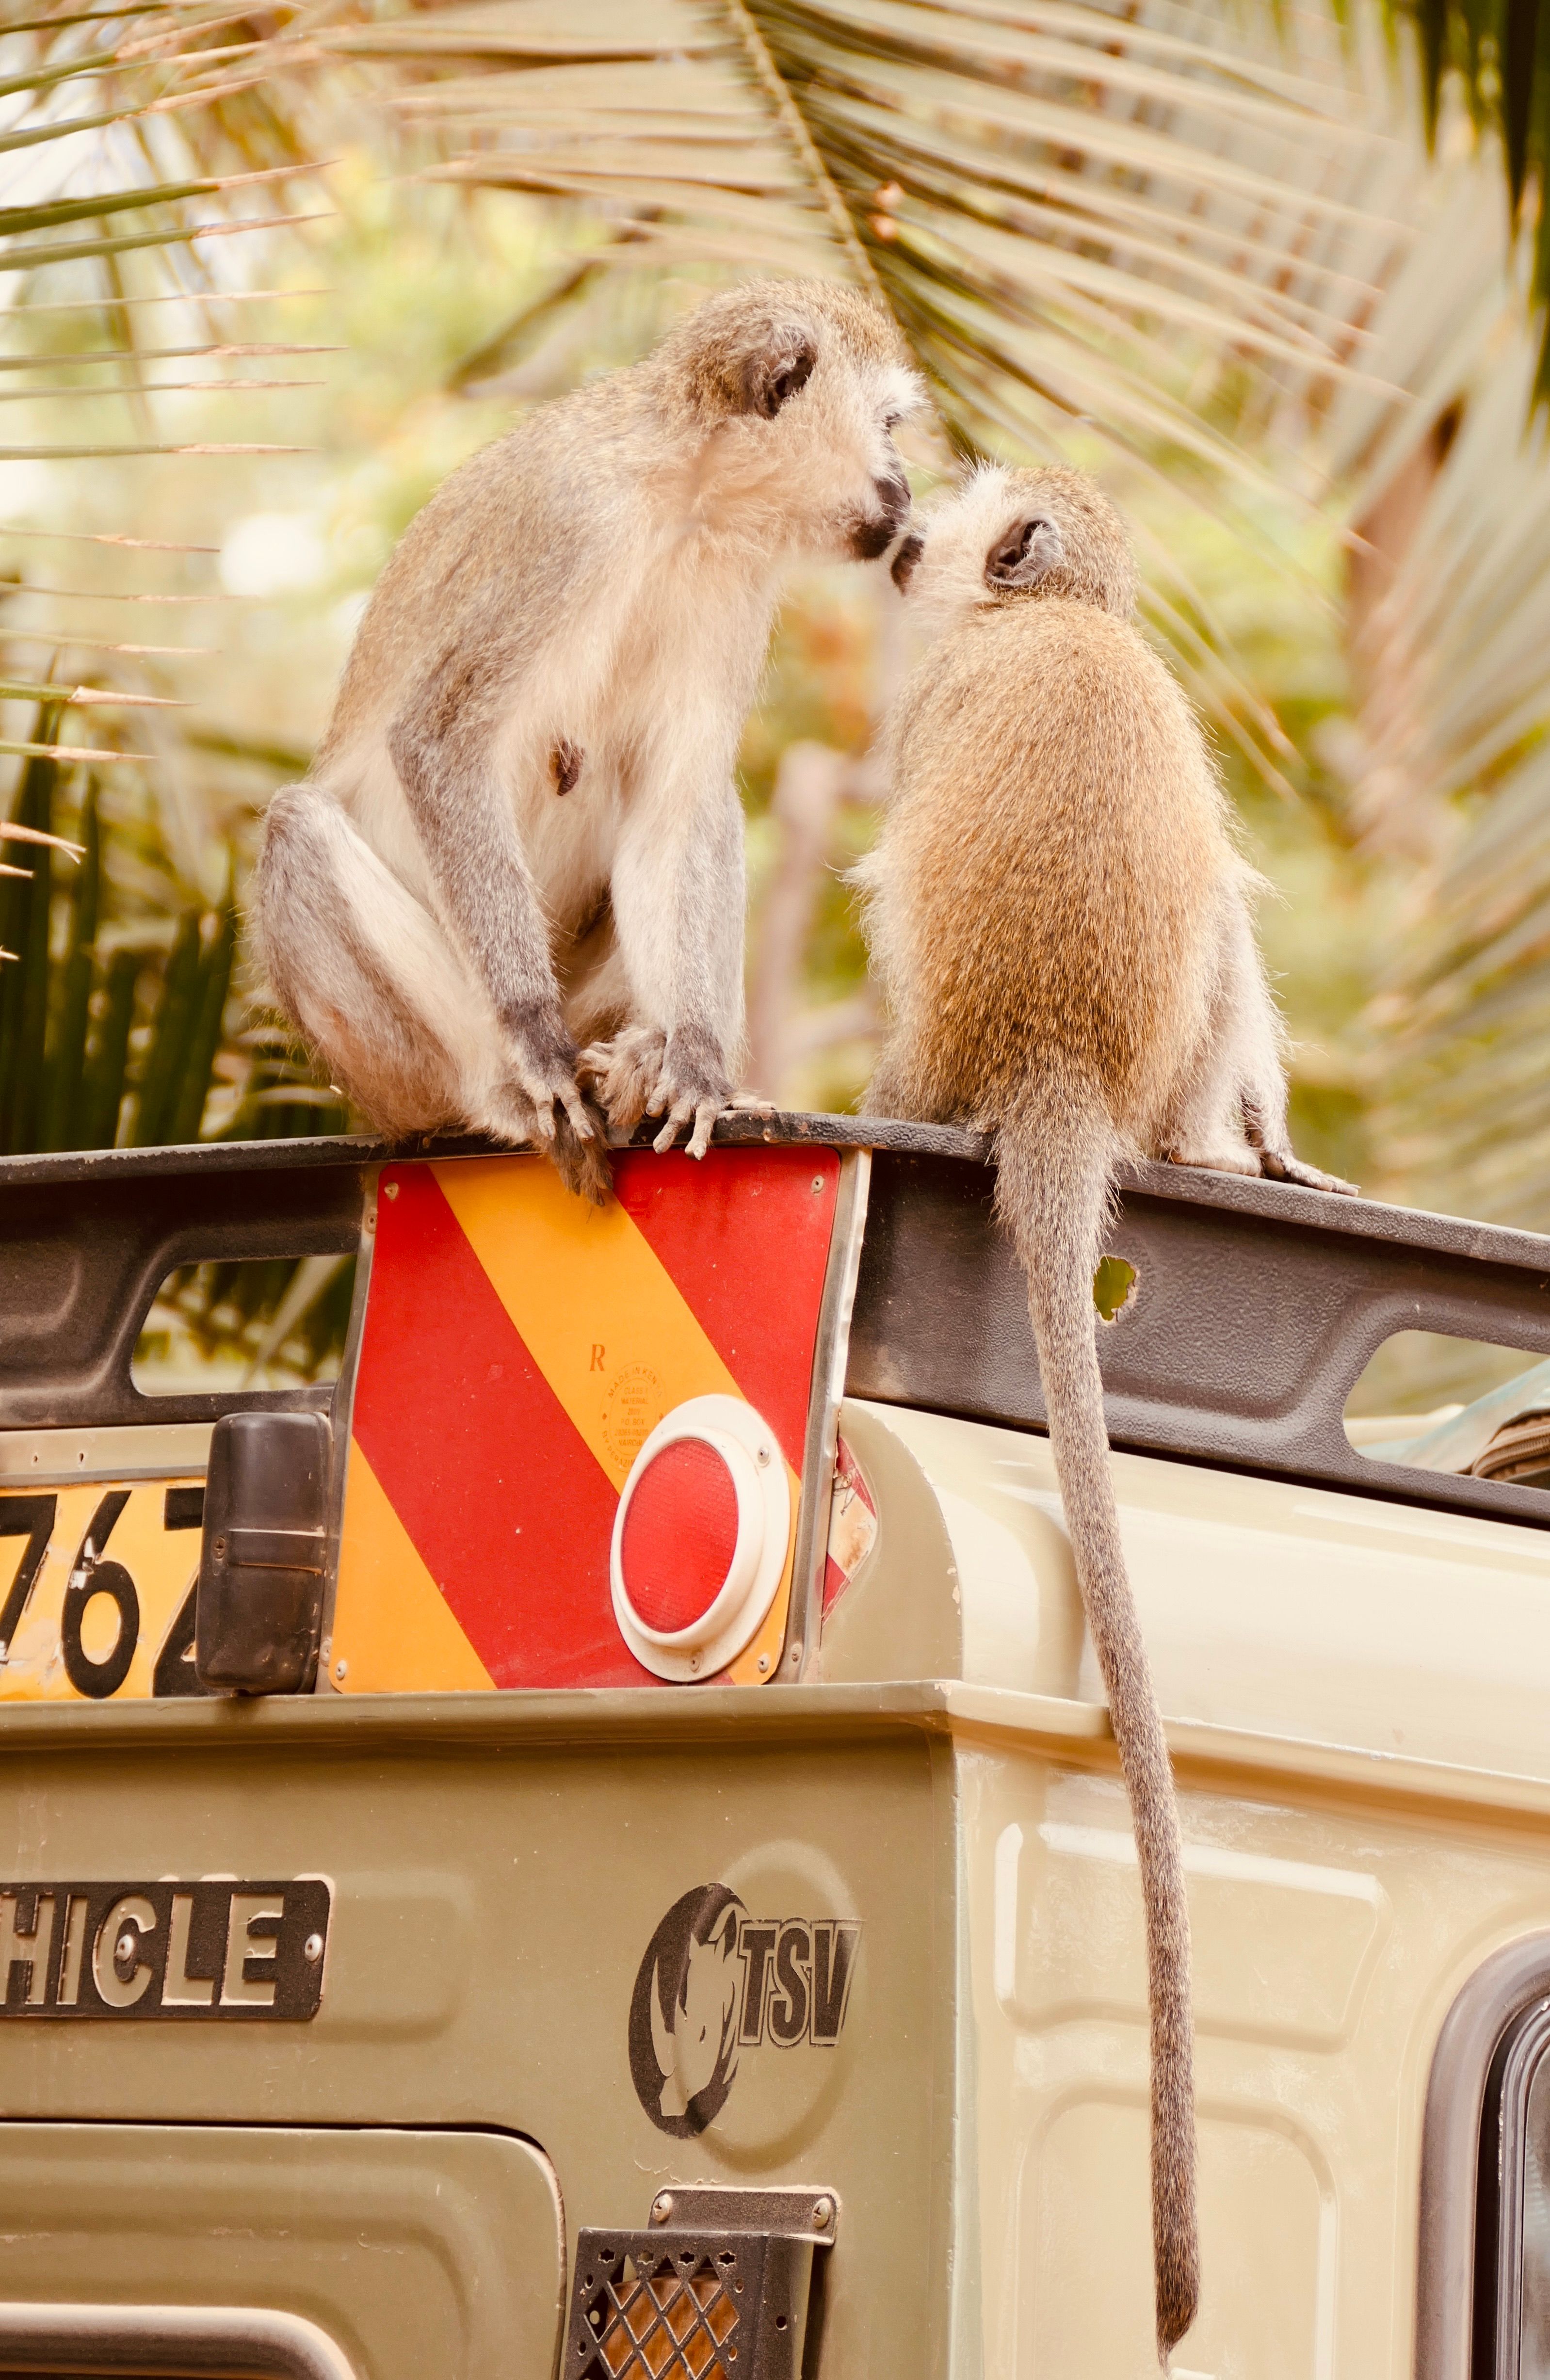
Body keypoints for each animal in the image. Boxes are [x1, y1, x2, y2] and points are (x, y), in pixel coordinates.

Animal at [252, 280, 922, 1200]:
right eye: (887, 426)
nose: (906, 484)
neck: (682, 497)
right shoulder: (570, 525)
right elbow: (438, 742)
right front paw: (534, 1040)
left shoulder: (735, 581)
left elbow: (675, 803)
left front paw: (695, 1063)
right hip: (393, 1078)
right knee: (297, 830)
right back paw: (499, 1091)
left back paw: (643, 1054)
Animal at [859, 462, 1355, 2363]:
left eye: (962, 496)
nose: (904, 504)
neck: (1053, 619)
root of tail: (1053, 1061)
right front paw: (1276, 1142)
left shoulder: (936, 704)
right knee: (1222, 940)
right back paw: (1255, 1145)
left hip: (950, 1034)